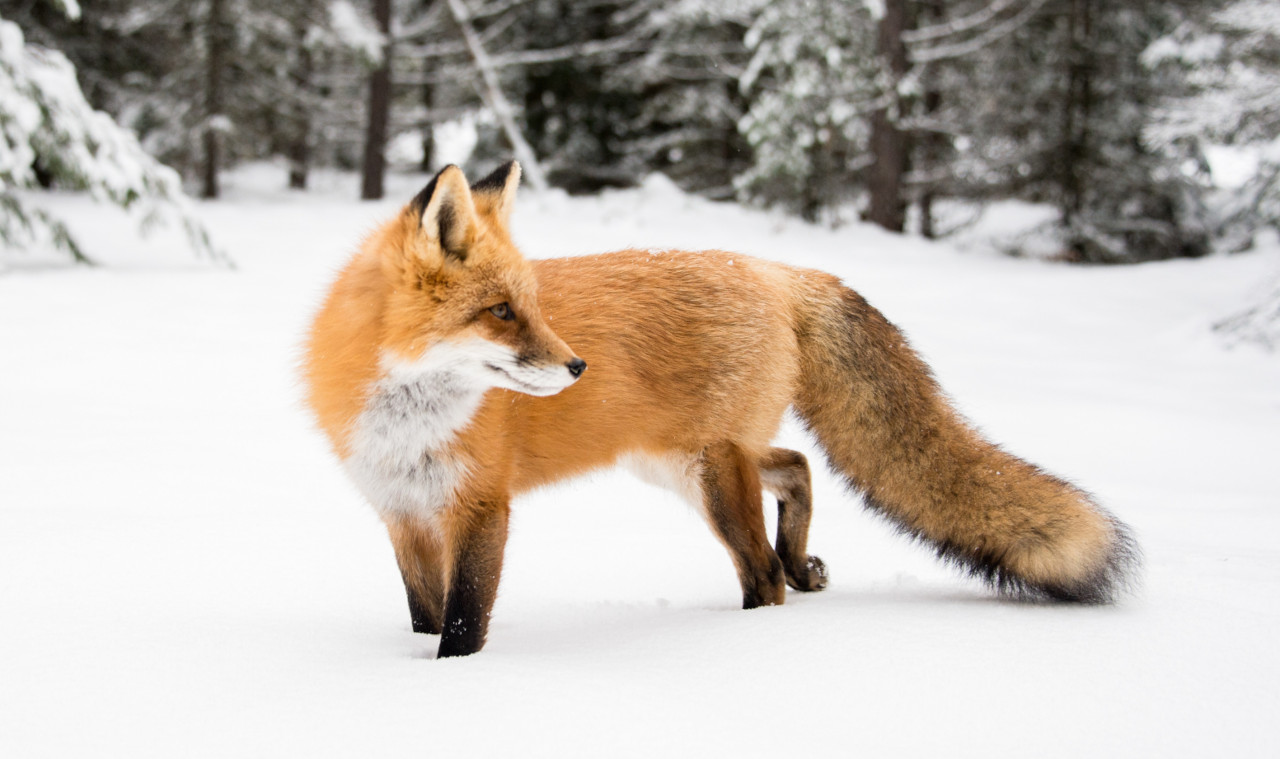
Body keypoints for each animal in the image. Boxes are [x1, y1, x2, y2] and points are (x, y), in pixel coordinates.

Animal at [303, 161, 1139, 658]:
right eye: (501, 312)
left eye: (530, 306)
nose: (577, 365)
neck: (408, 420)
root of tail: (775, 270)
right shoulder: (403, 513)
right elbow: (423, 611)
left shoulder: (480, 507)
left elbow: (463, 620)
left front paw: (451, 682)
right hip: (683, 461)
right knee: (797, 466)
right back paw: (803, 563)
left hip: (710, 473)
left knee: (763, 571)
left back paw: (747, 630)